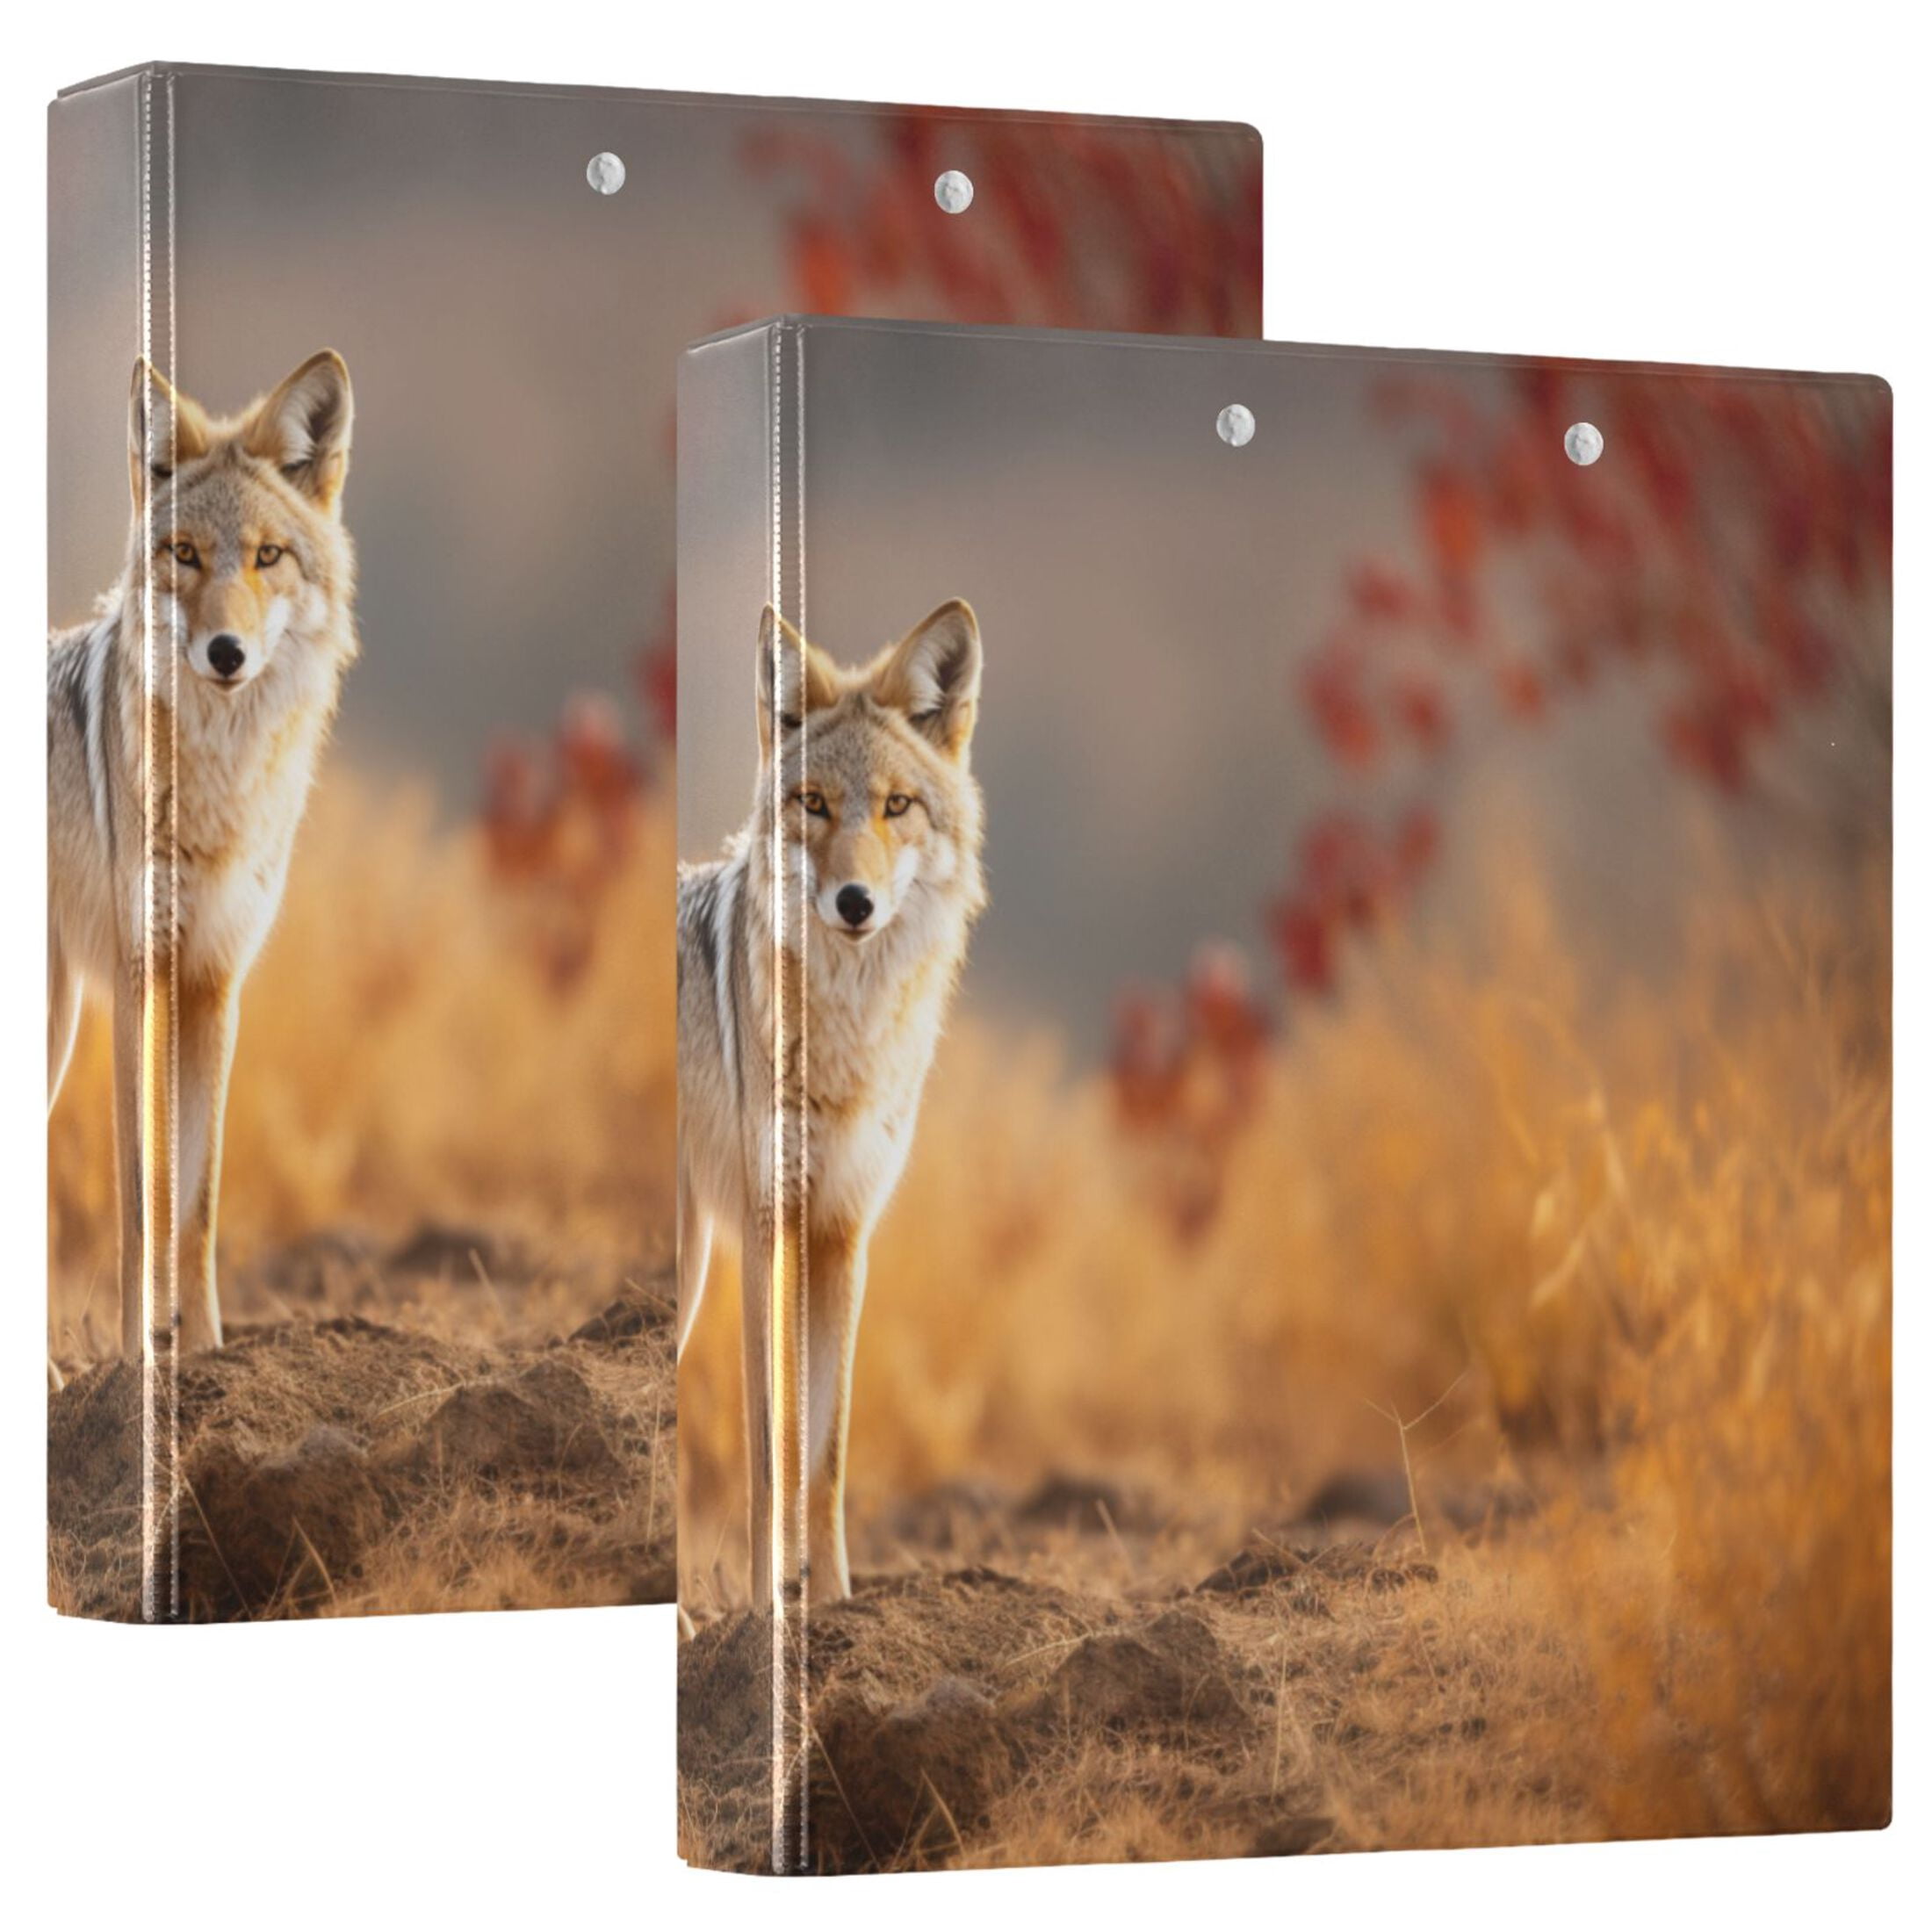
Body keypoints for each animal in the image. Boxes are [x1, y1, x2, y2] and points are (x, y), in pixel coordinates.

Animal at [48, 351, 358, 1362]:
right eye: (183, 554)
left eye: (266, 557)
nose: (226, 652)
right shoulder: (138, 978)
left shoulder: (215, 982)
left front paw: (212, 1355)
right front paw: (137, 1363)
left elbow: (199, 1203)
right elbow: (142, 1200)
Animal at [678, 600, 985, 1606]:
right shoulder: (767, 1227)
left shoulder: (844, 1233)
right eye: (812, 804)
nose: (854, 902)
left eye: (895, 807)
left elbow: (828, 1456)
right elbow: (770, 1449)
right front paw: (767, 1611)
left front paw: (839, 1605)